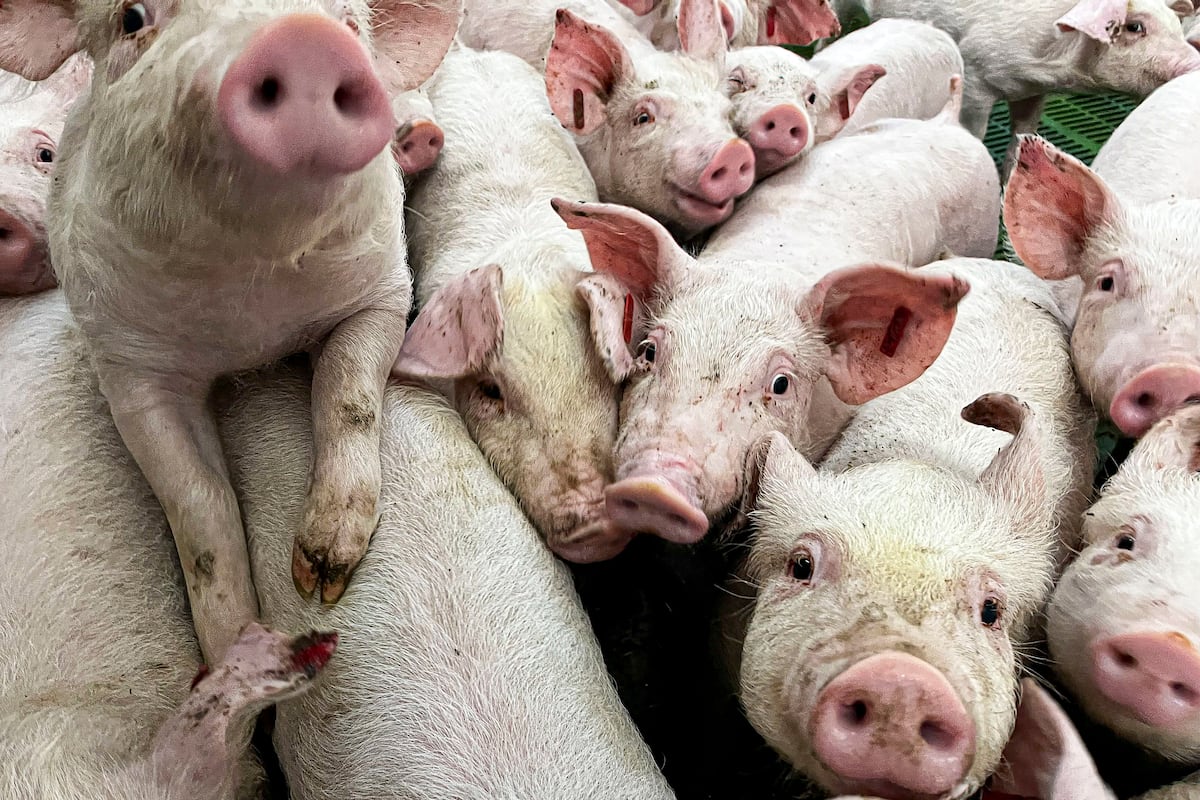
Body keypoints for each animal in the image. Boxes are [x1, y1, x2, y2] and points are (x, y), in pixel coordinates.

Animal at [840, 0, 1200, 148]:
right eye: (1135, 27)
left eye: (1174, 22)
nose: (1193, 61)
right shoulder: (975, 79)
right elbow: (975, 131)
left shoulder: (1032, 91)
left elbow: (1022, 134)